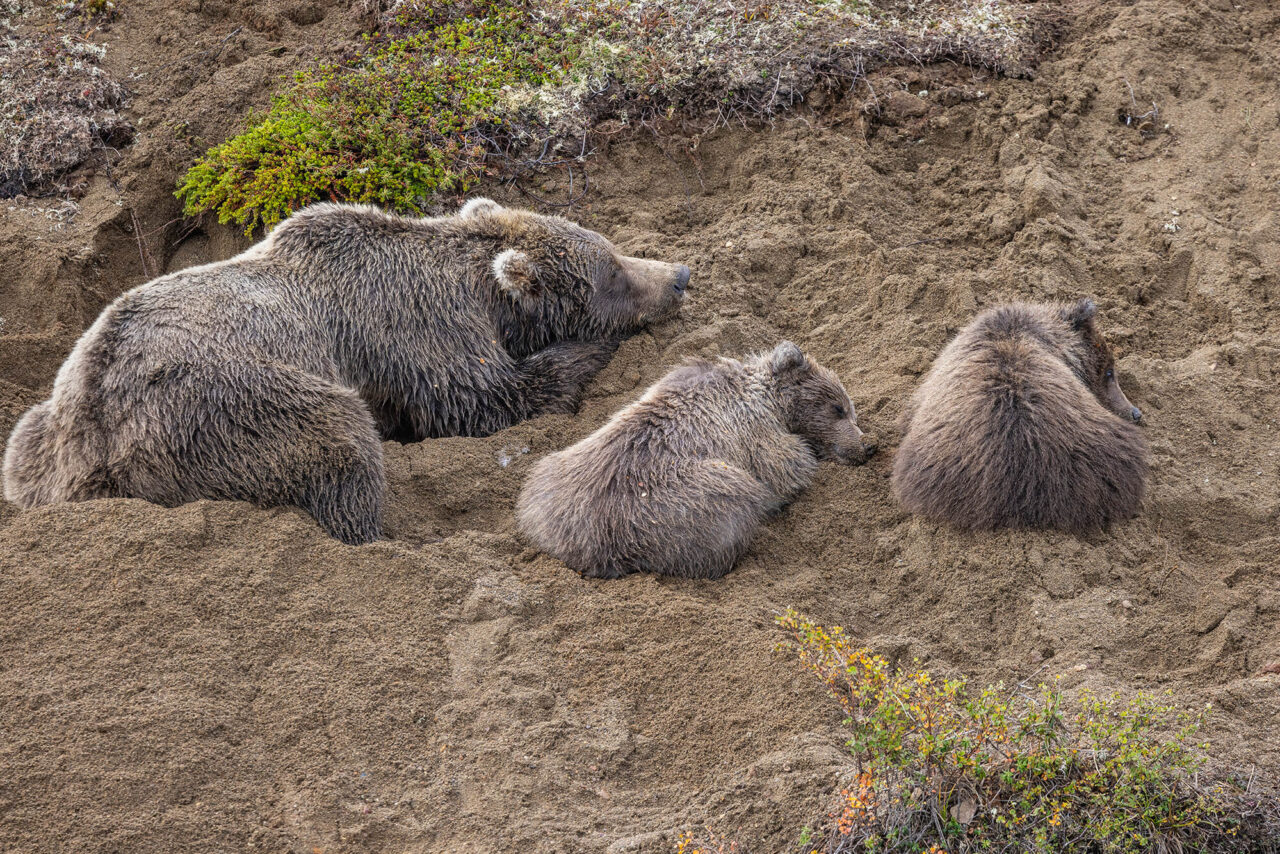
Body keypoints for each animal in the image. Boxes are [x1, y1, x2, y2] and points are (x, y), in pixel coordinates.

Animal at [2, 198, 690, 544]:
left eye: (611, 248)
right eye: (612, 272)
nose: (679, 275)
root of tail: (89, 453)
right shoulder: (413, 327)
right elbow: (479, 400)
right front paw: (589, 351)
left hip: (40, 429)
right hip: (220, 407)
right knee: (338, 438)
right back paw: (384, 533)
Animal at [515, 341, 876, 580]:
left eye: (848, 407)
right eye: (839, 407)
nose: (866, 445)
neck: (771, 400)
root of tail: (593, 542)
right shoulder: (757, 435)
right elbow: (789, 467)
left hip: (551, 480)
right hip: (692, 499)